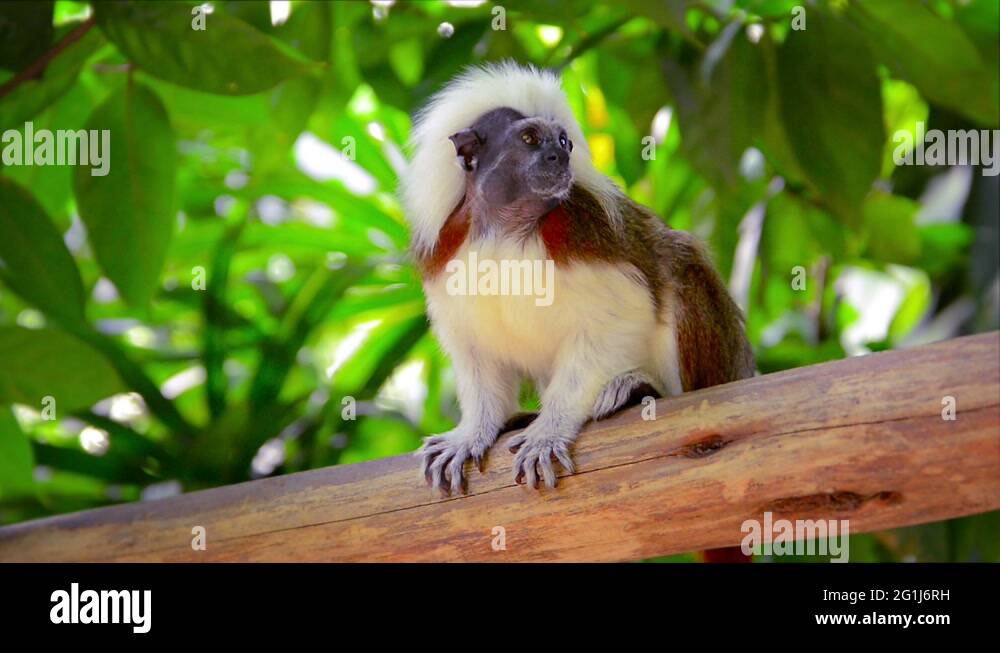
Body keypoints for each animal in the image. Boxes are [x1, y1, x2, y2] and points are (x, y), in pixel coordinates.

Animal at [401, 62, 754, 496]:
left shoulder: (580, 234)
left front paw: (549, 430)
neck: (506, 229)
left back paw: (634, 388)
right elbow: (476, 353)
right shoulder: (449, 250)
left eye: (564, 141)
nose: (559, 156)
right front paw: (472, 434)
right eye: (530, 138)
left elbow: (622, 315)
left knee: (678, 264)